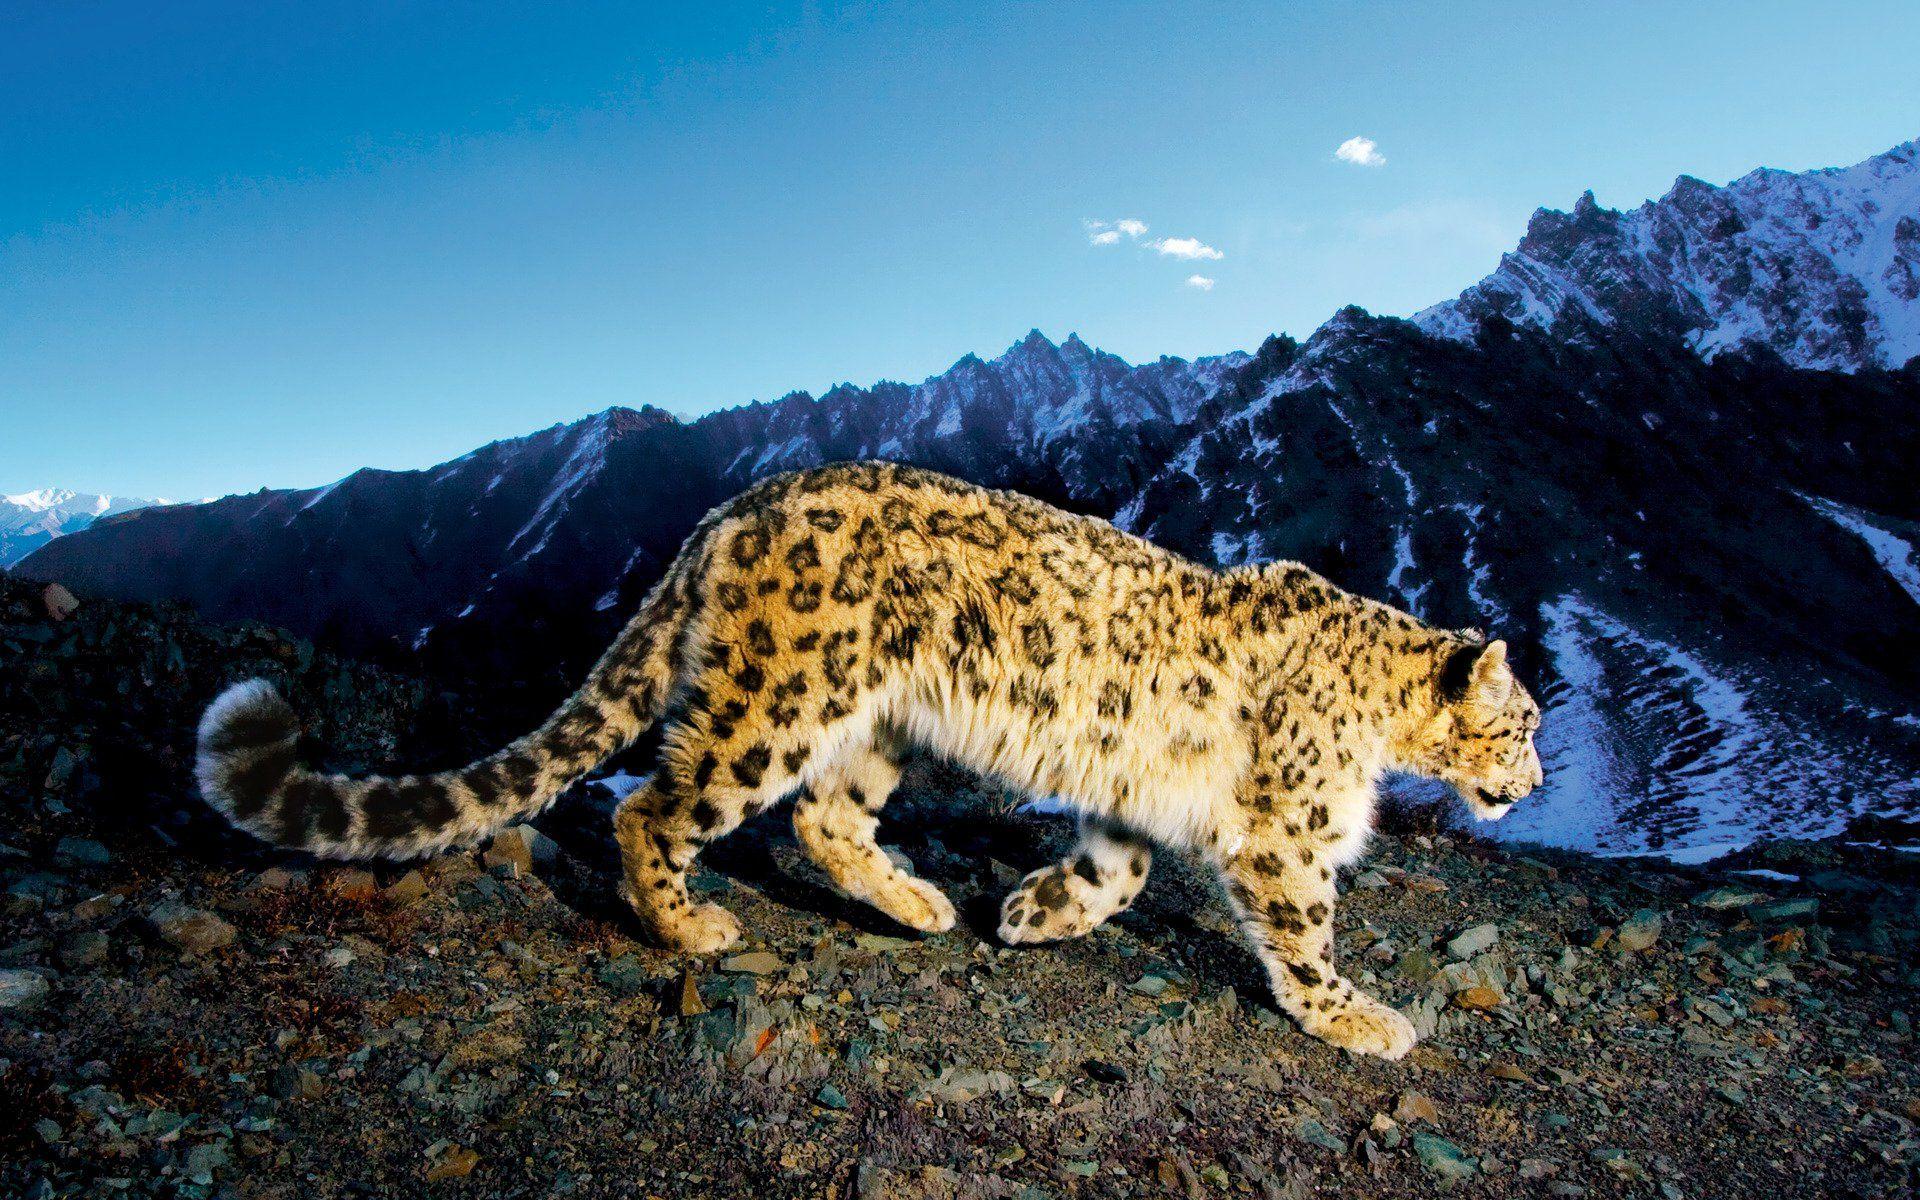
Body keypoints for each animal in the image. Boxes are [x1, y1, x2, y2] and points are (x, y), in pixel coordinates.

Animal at [197, 460, 1542, 1059]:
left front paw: (1034, 913)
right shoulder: (1287, 832)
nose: (1532, 783)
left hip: (876, 724)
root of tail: (729, 511)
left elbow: (1118, 874)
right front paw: (1358, 1016)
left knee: (823, 820)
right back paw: (692, 927)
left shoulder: (1134, 802)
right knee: (659, 807)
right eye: (1525, 722)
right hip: (776, 700)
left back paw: (923, 904)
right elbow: (1303, 929)